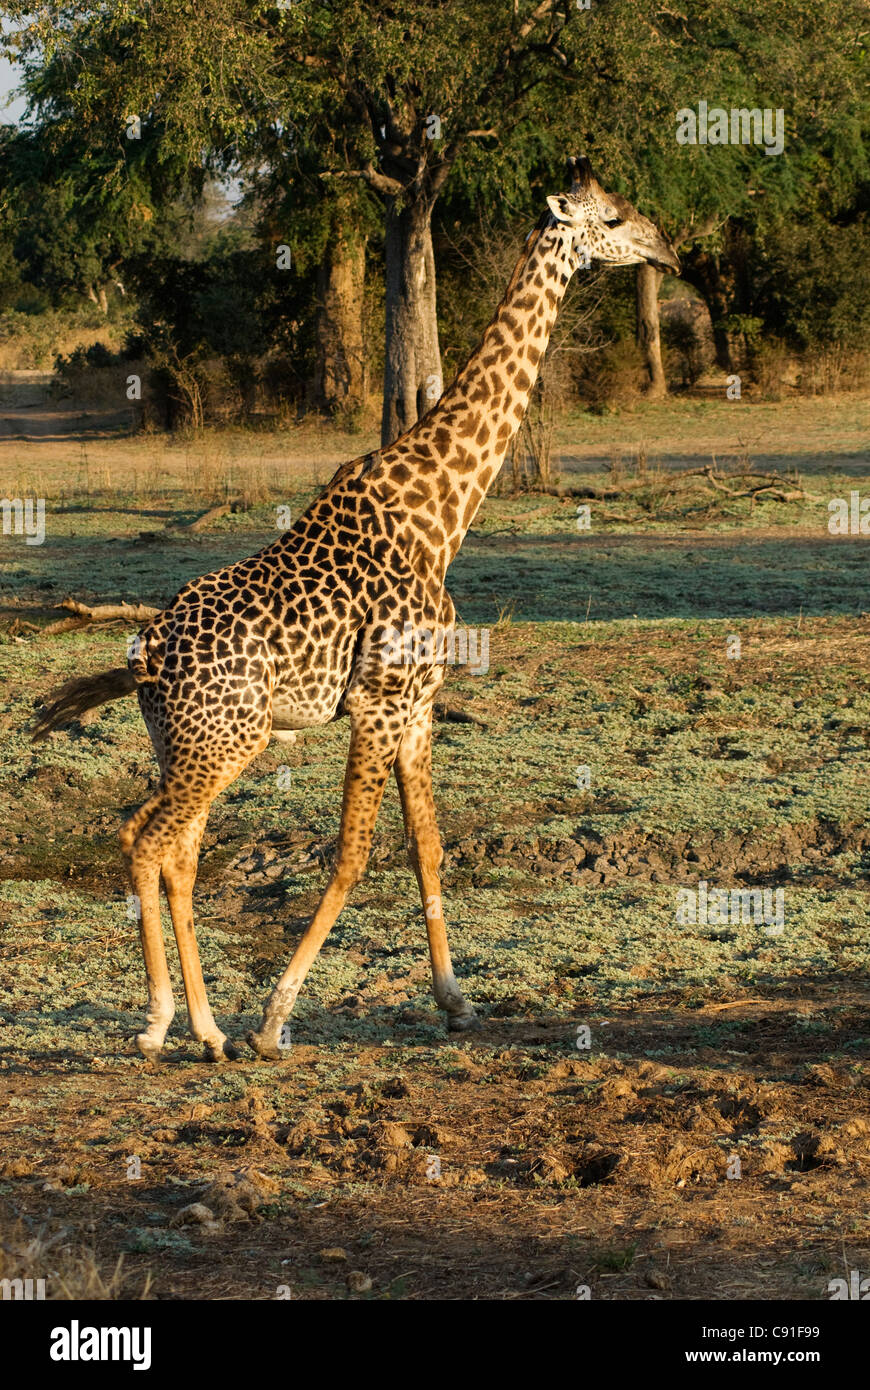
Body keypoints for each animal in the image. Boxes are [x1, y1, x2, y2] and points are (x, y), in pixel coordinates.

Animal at [32, 156, 679, 1063]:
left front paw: (457, 1003)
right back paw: (171, 1023)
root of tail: (144, 657)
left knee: (177, 850)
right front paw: (275, 1020)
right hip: (229, 741)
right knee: (146, 839)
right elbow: (352, 852)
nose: (669, 250)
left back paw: (203, 1027)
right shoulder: (379, 701)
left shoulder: (419, 705)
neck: (442, 511)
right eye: (613, 217)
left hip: (186, 745)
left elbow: (429, 848)